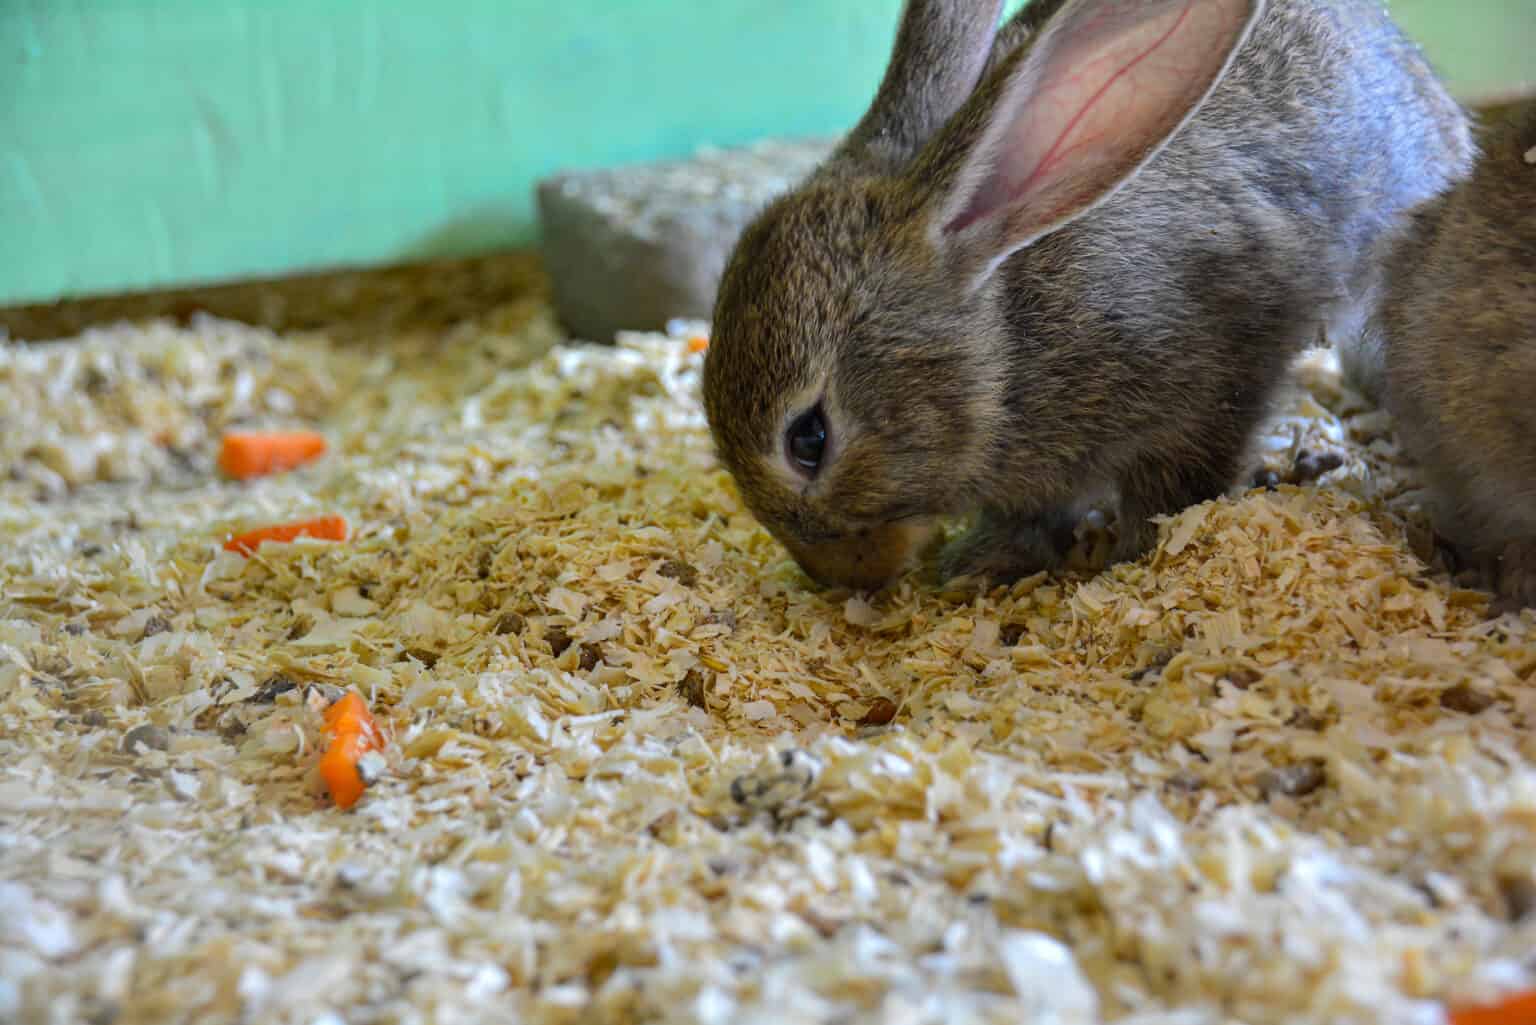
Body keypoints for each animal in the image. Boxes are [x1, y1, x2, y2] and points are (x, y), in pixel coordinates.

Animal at [700, 0, 1474, 592]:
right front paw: (984, 561)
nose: (837, 574)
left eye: (809, 440)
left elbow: (1175, 486)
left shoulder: (1204, 384)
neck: (1004, 343)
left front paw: (1122, 560)